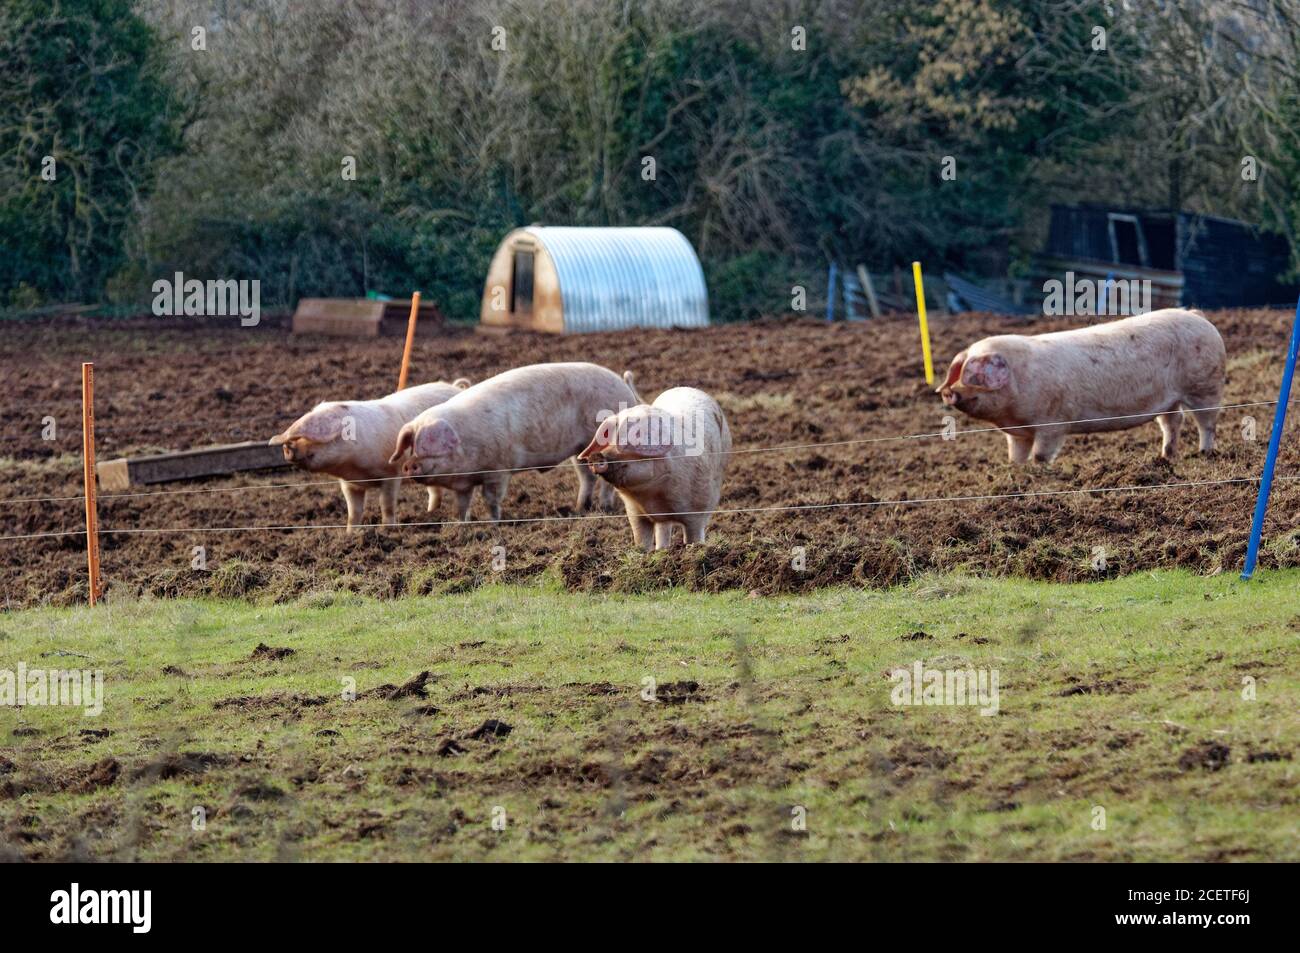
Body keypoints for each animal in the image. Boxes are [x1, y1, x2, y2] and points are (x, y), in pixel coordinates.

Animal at [270, 378, 471, 530]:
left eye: (312, 436)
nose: (287, 447)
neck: (354, 467)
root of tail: (456, 387)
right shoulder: (349, 484)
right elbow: (353, 511)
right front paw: (351, 534)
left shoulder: (392, 473)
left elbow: (386, 504)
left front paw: (387, 530)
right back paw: (430, 514)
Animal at [388, 363, 639, 522]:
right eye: (412, 447)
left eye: (429, 445)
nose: (409, 465)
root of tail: (623, 385)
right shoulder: (464, 484)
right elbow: (462, 503)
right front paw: (461, 523)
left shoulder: (498, 470)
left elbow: (490, 498)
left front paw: (494, 522)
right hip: (579, 449)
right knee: (587, 476)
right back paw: (580, 508)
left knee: (605, 479)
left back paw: (604, 508)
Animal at [577, 387, 731, 551]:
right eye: (608, 439)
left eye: (627, 442)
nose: (596, 455)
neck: (652, 494)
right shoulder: (634, 512)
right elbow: (641, 538)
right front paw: (644, 552)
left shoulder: (698, 508)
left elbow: (693, 536)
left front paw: (695, 549)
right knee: (663, 527)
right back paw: (662, 549)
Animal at [937, 309, 1225, 464]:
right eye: (960, 371)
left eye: (975, 374)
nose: (949, 393)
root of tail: (1197, 315)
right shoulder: (1018, 434)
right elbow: (1015, 455)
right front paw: (1016, 471)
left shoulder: (1053, 423)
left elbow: (1041, 455)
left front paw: (1038, 471)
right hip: (1169, 399)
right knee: (1173, 422)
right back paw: (1165, 457)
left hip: (1206, 386)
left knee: (1207, 423)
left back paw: (1204, 453)